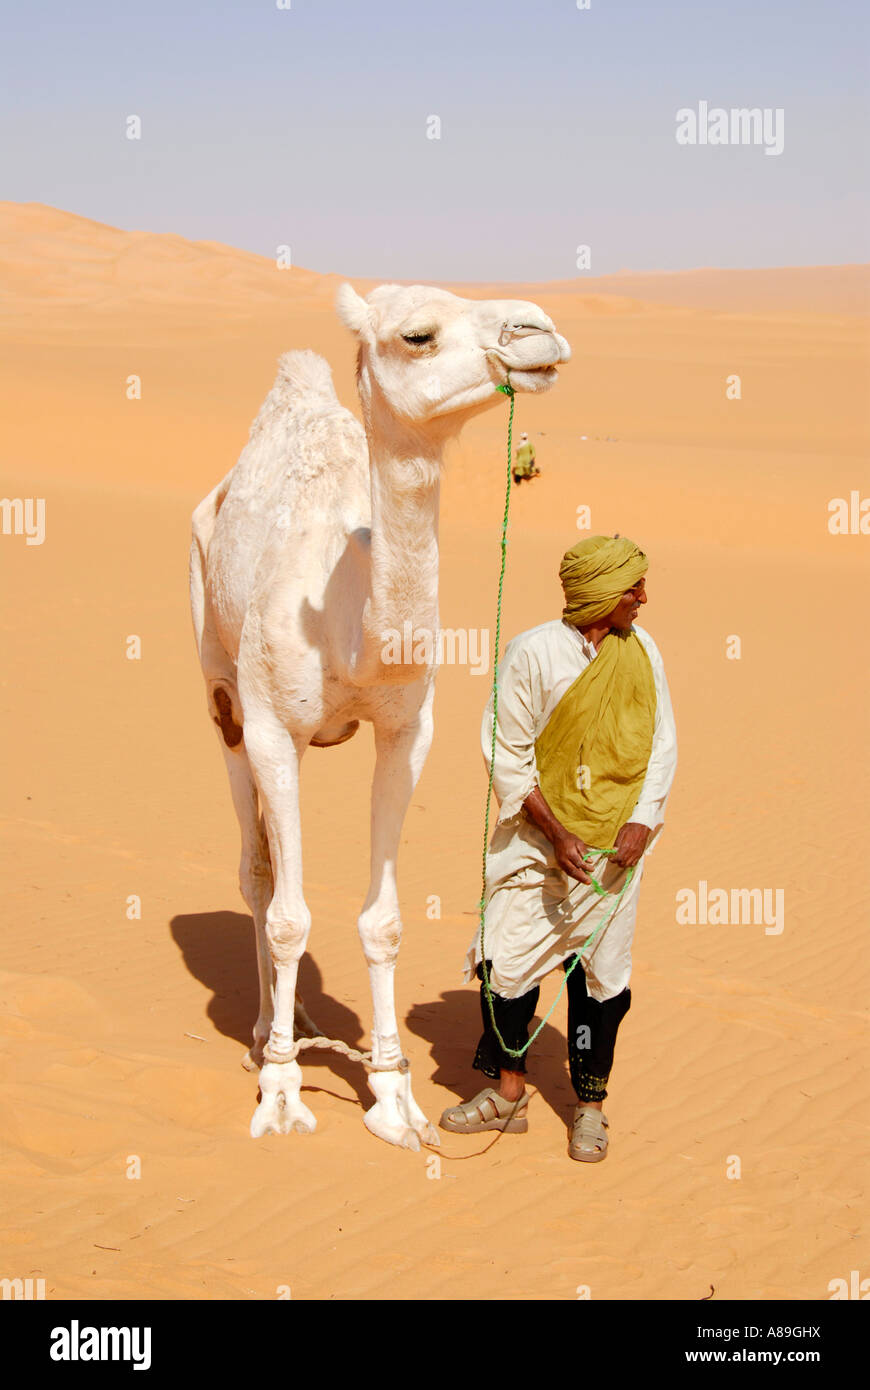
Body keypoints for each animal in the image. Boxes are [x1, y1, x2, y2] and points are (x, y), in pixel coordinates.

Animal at [189, 281, 570, 1147]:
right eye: (417, 335)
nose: (538, 330)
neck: (349, 615)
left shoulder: (407, 731)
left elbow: (383, 919)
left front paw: (395, 1096)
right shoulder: (272, 727)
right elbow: (287, 916)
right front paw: (282, 1091)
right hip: (220, 689)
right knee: (258, 875)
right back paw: (265, 1035)